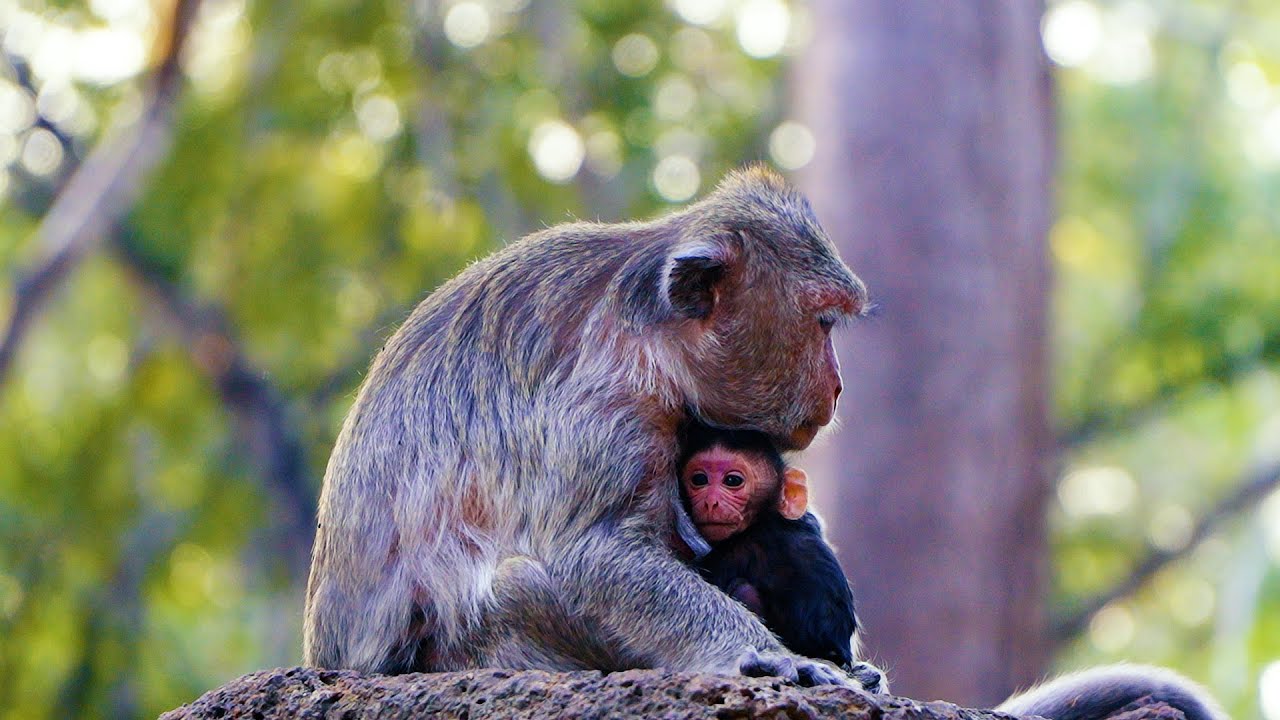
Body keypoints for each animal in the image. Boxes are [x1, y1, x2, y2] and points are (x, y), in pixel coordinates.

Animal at [677, 424, 864, 674]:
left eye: (732, 480)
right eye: (699, 479)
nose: (710, 502)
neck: (764, 520)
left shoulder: (743, 548)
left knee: (743, 588)